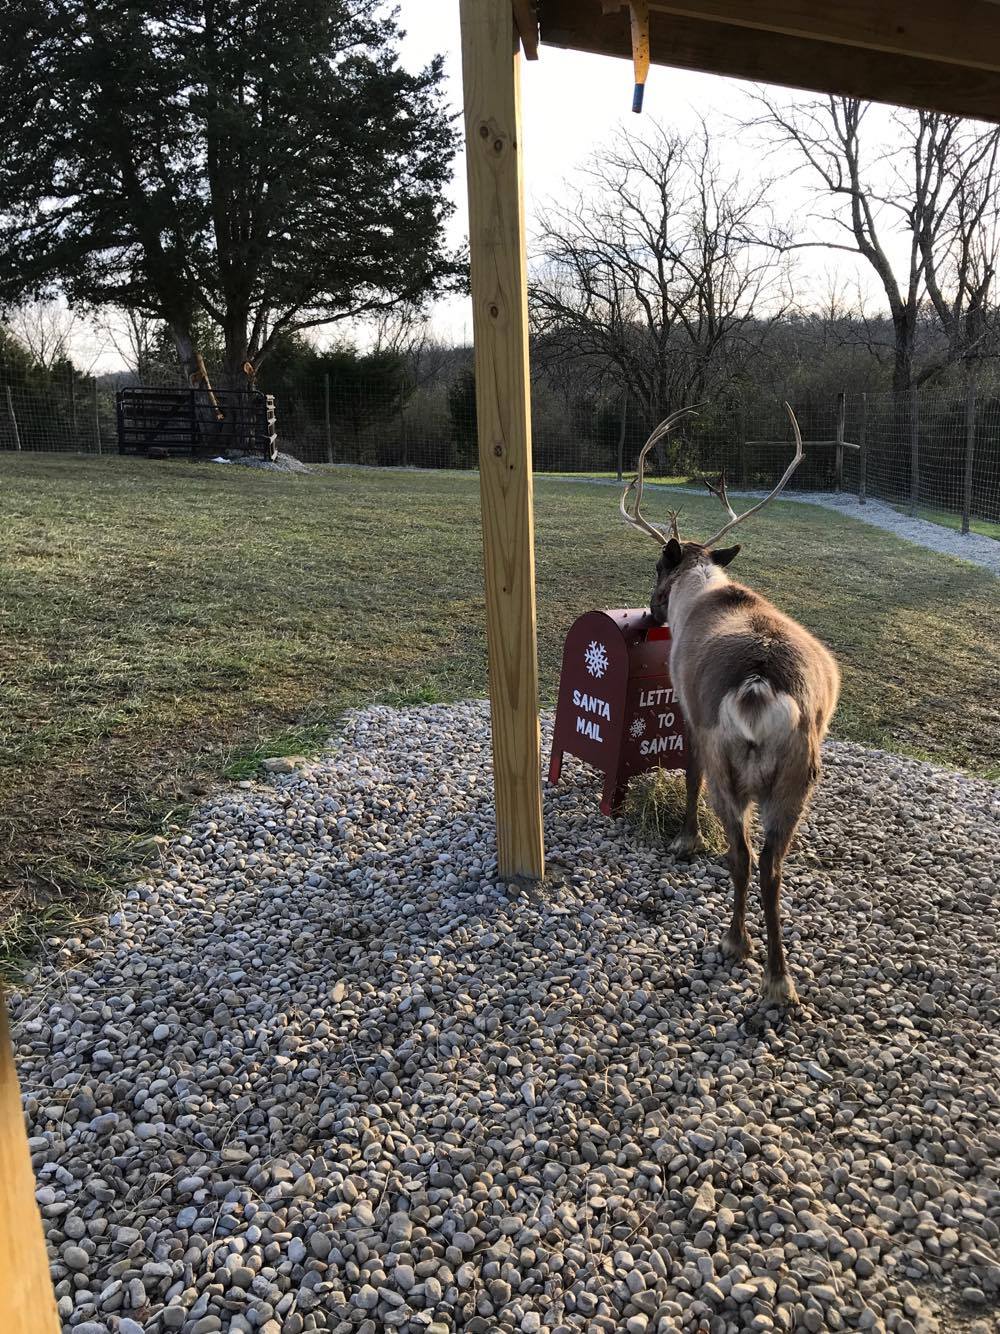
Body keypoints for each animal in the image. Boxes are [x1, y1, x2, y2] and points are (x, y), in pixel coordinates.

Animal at [620, 405, 840, 1005]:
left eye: (656, 569)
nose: (649, 612)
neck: (703, 593)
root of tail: (758, 689)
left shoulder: (687, 711)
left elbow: (688, 773)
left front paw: (686, 839)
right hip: (798, 779)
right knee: (771, 869)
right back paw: (780, 979)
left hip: (732, 768)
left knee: (743, 856)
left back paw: (735, 942)